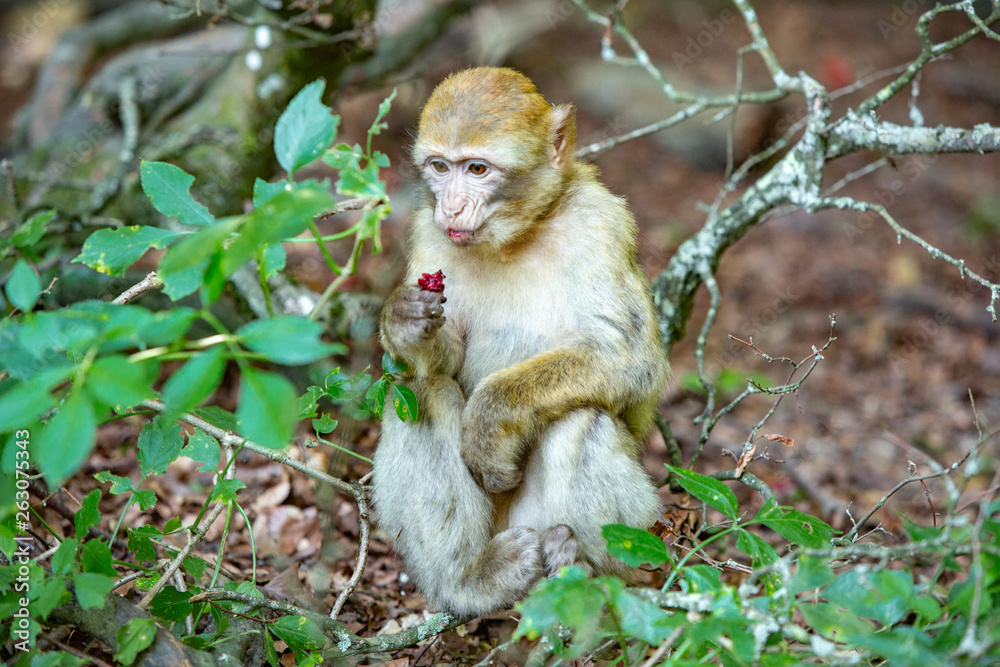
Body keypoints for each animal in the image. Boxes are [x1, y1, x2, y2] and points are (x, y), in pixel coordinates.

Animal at [371, 67, 668, 617]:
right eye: (440, 167)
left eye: (478, 169)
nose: (451, 206)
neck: (518, 237)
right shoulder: (429, 235)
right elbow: (443, 360)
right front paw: (402, 321)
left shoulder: (599, 224)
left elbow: (630, 358)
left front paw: (490, 420)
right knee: (425, 395)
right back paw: (470, 580)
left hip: (619, 524)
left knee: (582, 419)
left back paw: (587, 570)